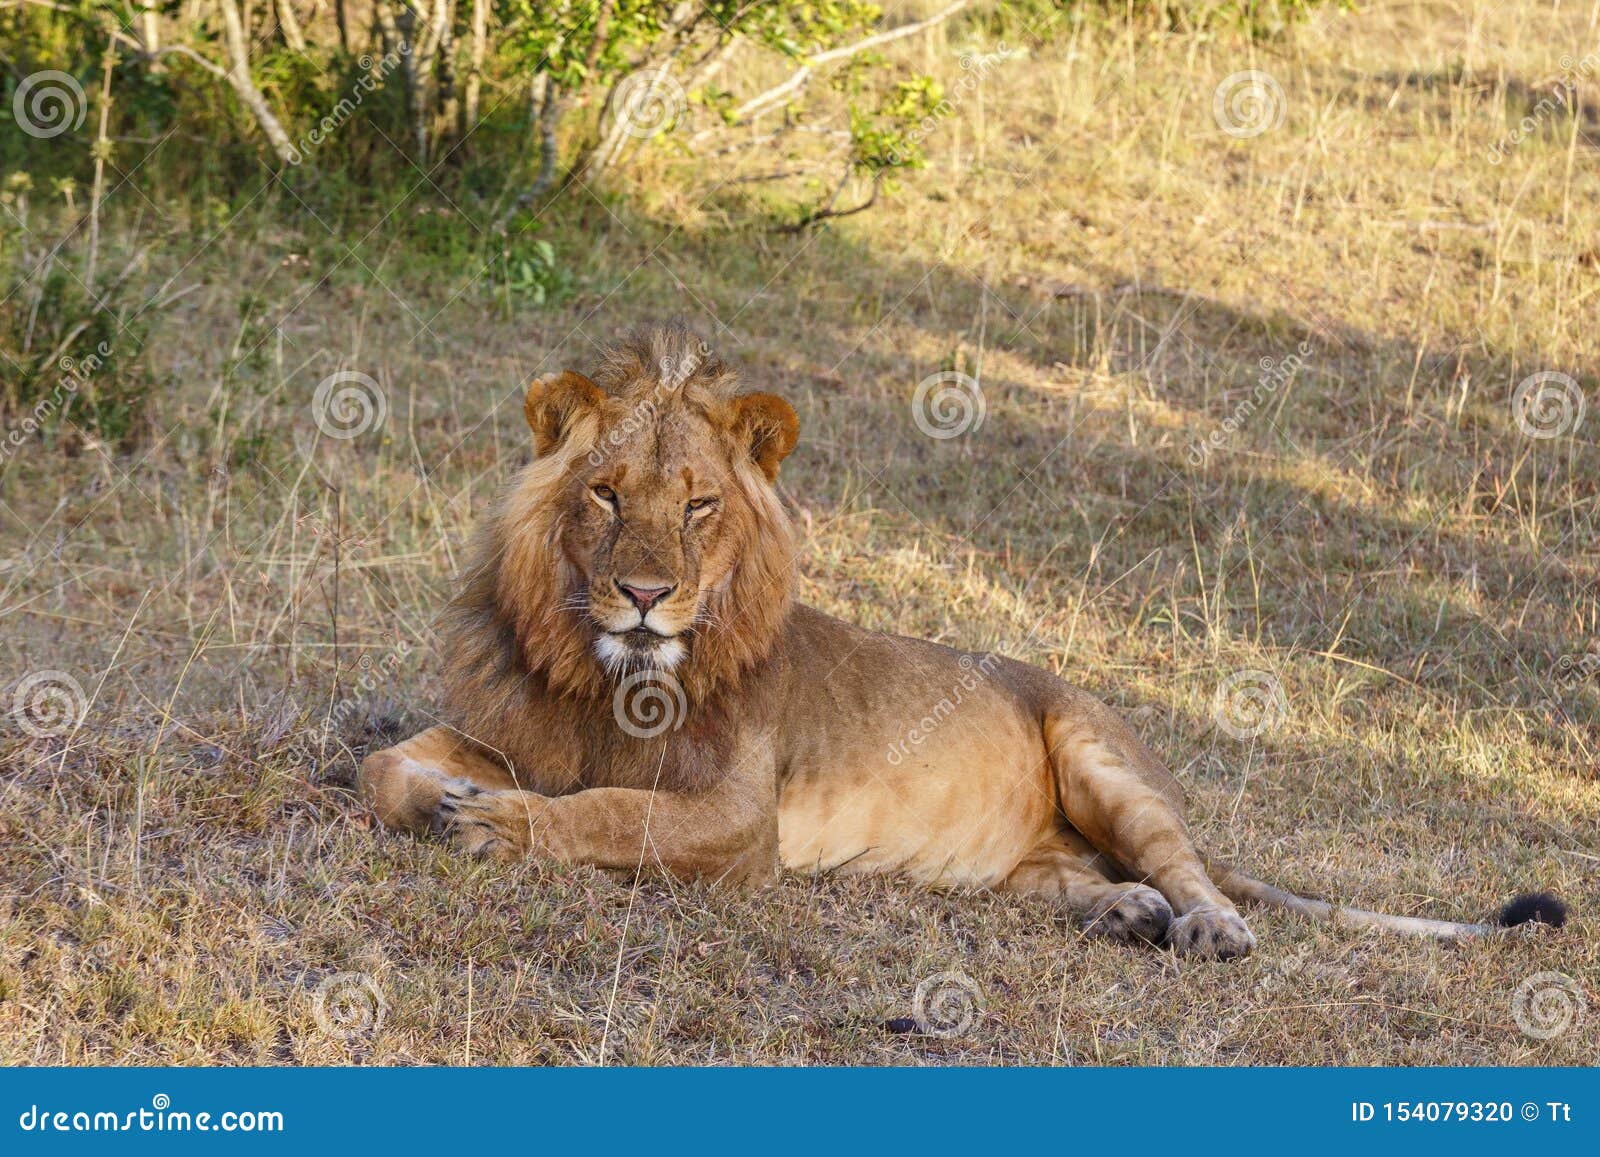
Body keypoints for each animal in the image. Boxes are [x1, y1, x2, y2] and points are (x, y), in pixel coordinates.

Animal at [359, 324, 1566, 957]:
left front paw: (498, 821)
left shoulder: (741, 822)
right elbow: (384, 766)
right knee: (1075, 875)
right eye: (606, 493)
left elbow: (614, 810)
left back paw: (1204, 923)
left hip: (1100, 752)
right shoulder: (511, 728)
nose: (645, 594)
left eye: (699, 504)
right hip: (1031, 854)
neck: (606, 678)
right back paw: (1123, 908)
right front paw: (447, 796)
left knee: (1185, 862)